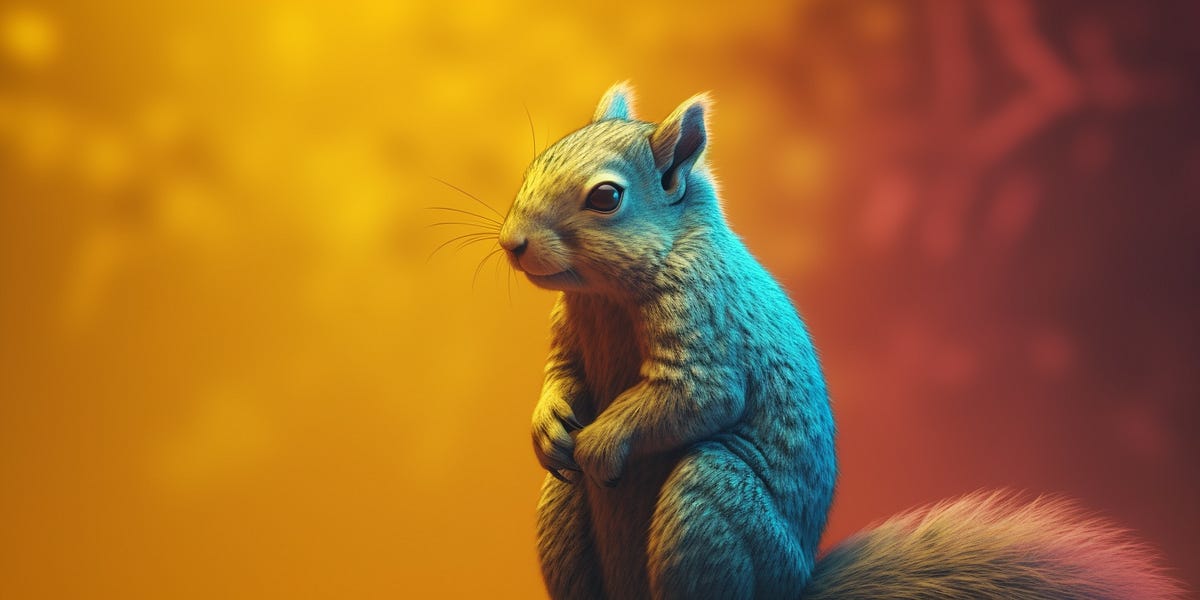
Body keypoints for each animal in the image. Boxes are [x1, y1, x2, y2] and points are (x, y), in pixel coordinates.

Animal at [496, 82, 1182, 600]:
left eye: (607, 197)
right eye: (537, 161)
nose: (512, 243)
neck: (605, 297)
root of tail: (794, 587)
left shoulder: (707, 319)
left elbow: (695, 396)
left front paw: (598, 443)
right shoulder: (570, 333)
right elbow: (563, 373)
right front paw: (548, 423)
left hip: (714, 500)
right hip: (565, 516)